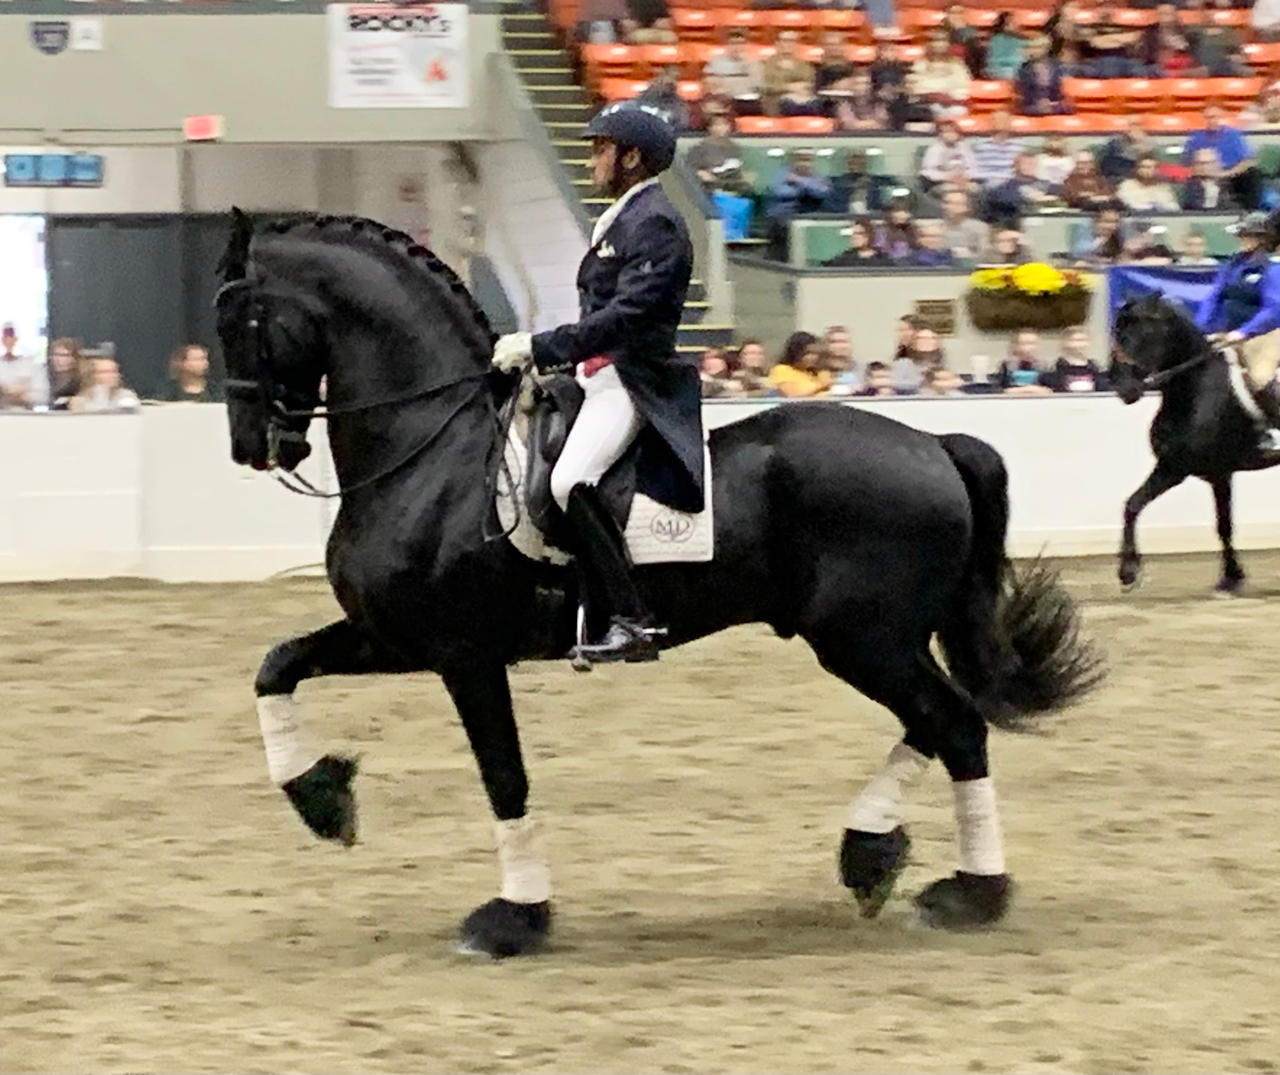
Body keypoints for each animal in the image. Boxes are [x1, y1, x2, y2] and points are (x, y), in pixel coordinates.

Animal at [212, 208, 1102, 959]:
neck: (433, 451)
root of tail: (937, 444)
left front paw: (512, 919)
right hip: (873, 639)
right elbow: (275, 665)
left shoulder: (464, 654)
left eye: (240, 325)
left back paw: (965, 892)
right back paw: (874, 854)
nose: (254, 447)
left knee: (957, 725)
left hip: (863, 639)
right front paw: (322, 799)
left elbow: (504, 776)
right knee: (943, 721)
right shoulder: (394, 635)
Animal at [1111, 291, 1280, 594]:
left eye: (1145, 331)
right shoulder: (1202, 471)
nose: (1124, 389)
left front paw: (1128, 573)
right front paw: (1231, 577)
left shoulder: (1185, 470)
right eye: (1117, 331)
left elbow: (1222, 525)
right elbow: (1133, 505)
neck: (1194, 390)